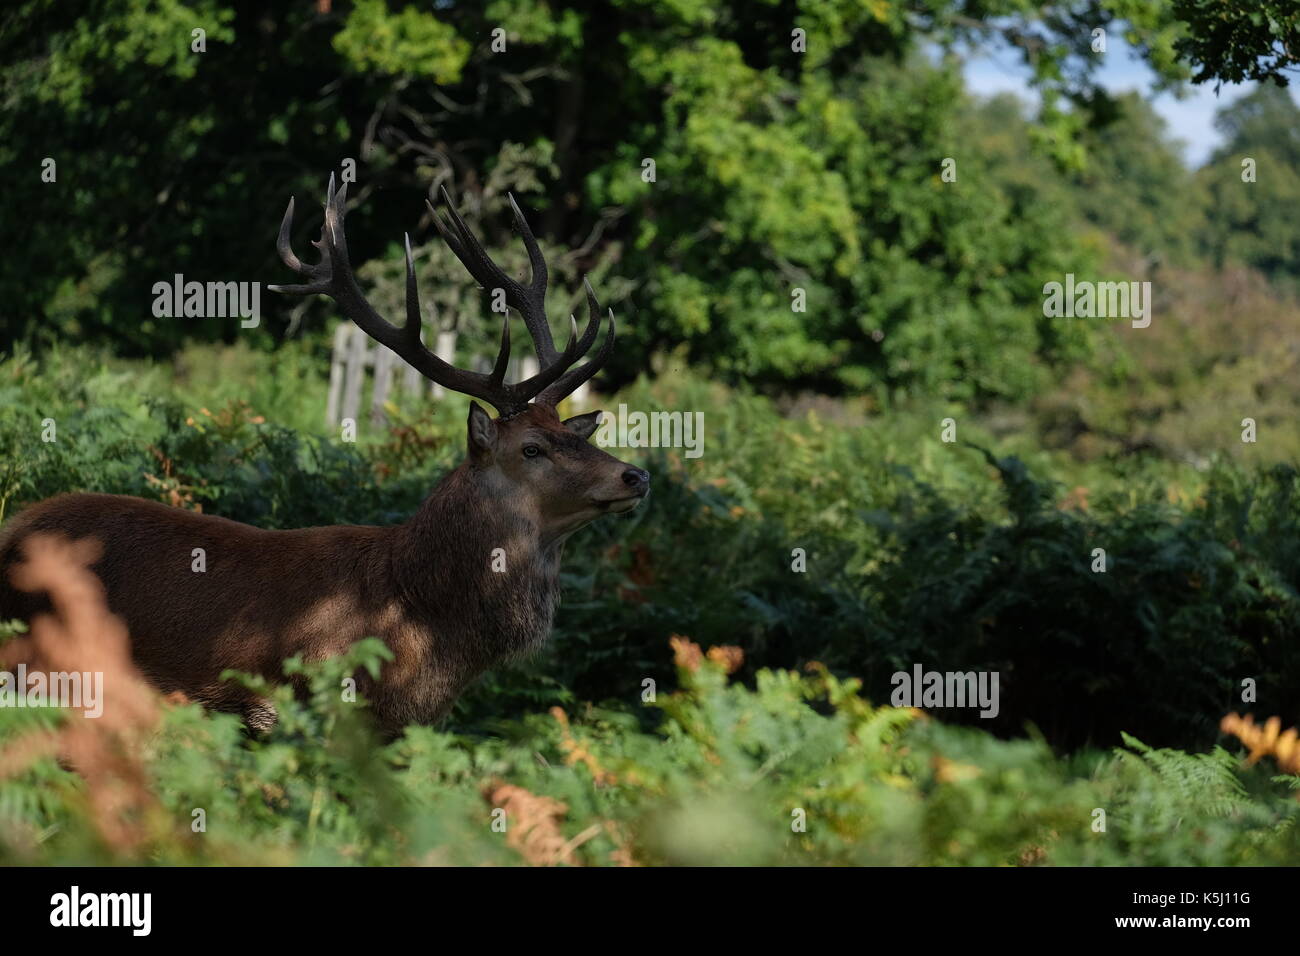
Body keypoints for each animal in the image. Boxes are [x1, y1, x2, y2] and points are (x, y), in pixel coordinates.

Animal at [0, 176, 650, 734]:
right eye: (532, 448)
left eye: (580, 436)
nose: (635, 475)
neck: (418, 627)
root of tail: (12, 531)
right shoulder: (288, 704)